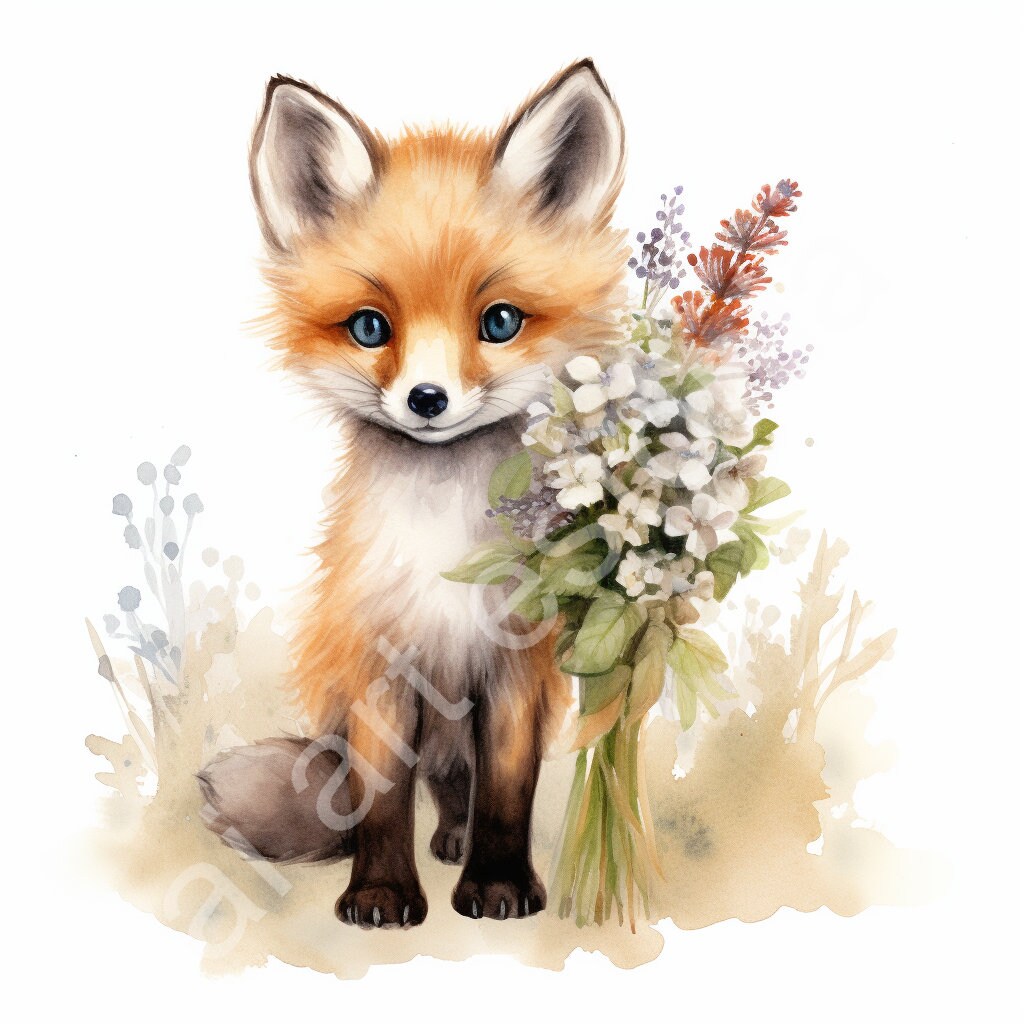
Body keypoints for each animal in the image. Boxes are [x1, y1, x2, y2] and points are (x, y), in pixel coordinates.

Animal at [198, 60, 628, 928]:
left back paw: (459, 845)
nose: (427, 399)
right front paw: (381, 893)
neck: (443, 554)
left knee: (460, 784)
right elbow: (383, 801)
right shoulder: (379, 666)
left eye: (499, 321)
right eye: (370, 328)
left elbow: (507, 789)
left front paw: (498, 883)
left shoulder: (513, 667)